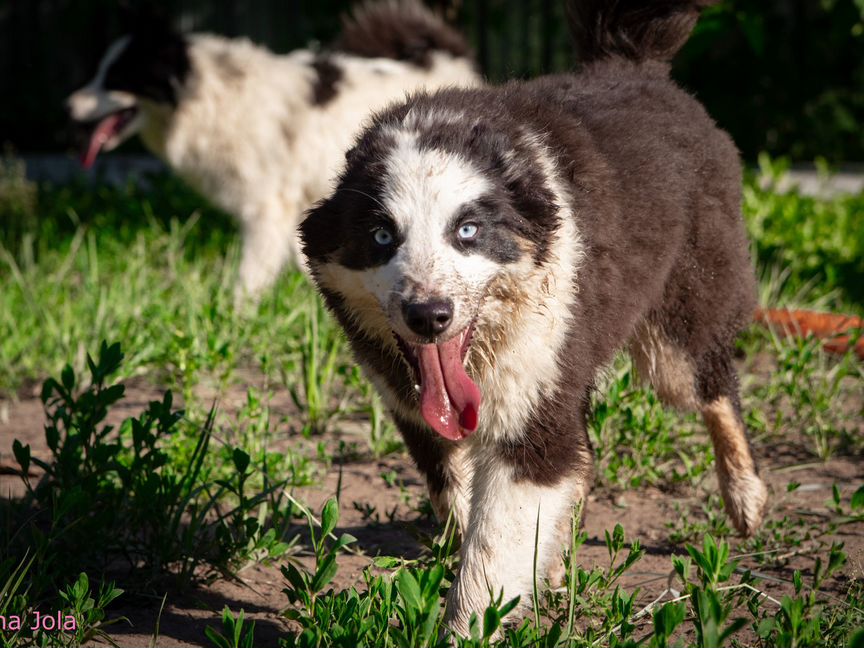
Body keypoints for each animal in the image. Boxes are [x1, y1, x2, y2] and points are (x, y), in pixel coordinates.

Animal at [66, 0, 480, 298]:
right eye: (99, 72)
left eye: (115, 79)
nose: (67, 107)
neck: (206, 94)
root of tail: (444, 54)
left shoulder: (264, 205)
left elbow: (250, 275)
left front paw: (236, 313)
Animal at [300, 0, 768, 632]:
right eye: (380, 237)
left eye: (468, 231)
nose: (429, 315)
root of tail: (636, 63)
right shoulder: (419, 411)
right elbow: (463, 503)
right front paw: (531, 572)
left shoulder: (532, 406)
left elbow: (491, 550)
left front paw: (467, 627)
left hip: (679, 324)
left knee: (715, 387)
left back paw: (745, 497)